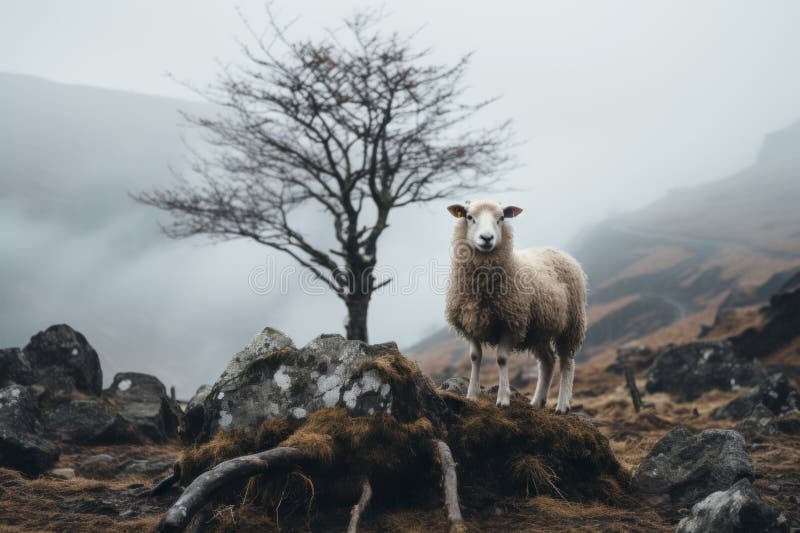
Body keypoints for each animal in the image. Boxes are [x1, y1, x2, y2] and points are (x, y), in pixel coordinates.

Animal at [444, 199, 587, 413]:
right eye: (469, 217)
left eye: (501, 218)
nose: (487, 238)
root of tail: (558, 251)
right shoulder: (470, 324)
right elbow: (475, 357)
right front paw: (472, 395)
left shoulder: (511, 323)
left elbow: (502, 359)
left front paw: (503, 398)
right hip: (539, 329)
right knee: (548, 361)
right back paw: (537, 402)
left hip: (571, 323)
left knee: (566, 362)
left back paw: (562, 405)